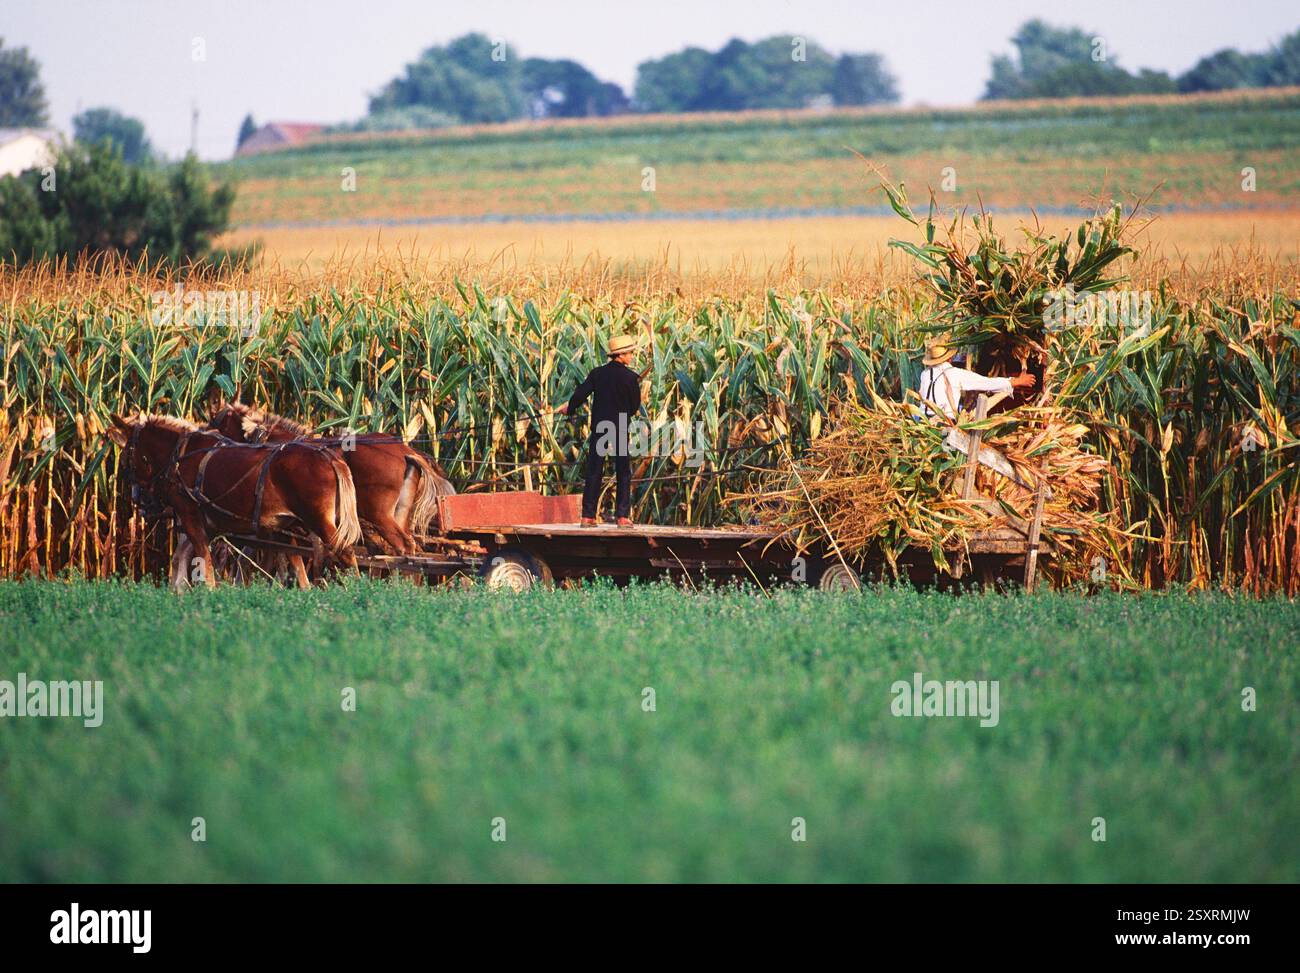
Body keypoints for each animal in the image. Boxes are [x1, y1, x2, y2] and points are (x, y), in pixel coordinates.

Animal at [107, 414, 362, 589]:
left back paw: (360, 590)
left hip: (319, 520)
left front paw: (207, 591)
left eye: (127, 455)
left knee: (345, 551)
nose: (140, 501)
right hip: (292, 524)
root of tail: (329, 457)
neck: (179, 457)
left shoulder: (190, 515)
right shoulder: (213, 523)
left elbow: (202, 558)